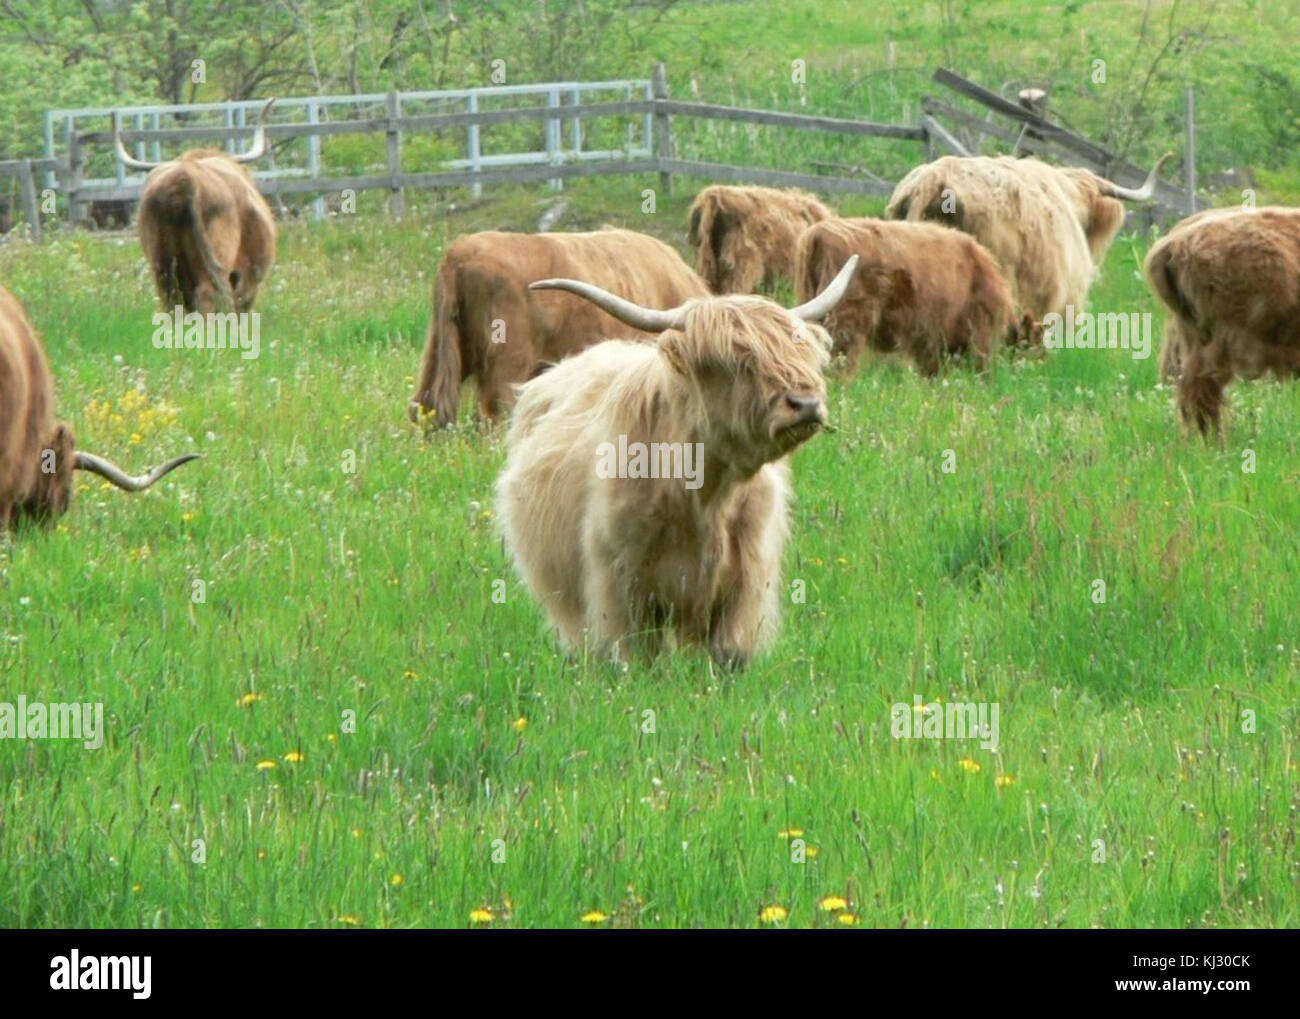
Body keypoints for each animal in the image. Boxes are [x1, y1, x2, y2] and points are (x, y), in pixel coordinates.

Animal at [495, 256, 859, 668]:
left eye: (800, 352)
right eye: (734, 361)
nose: (806, 404)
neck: (708, 494)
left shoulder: (745, 584)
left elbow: (729, 652)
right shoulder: (621, 585)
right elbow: (639, 657)